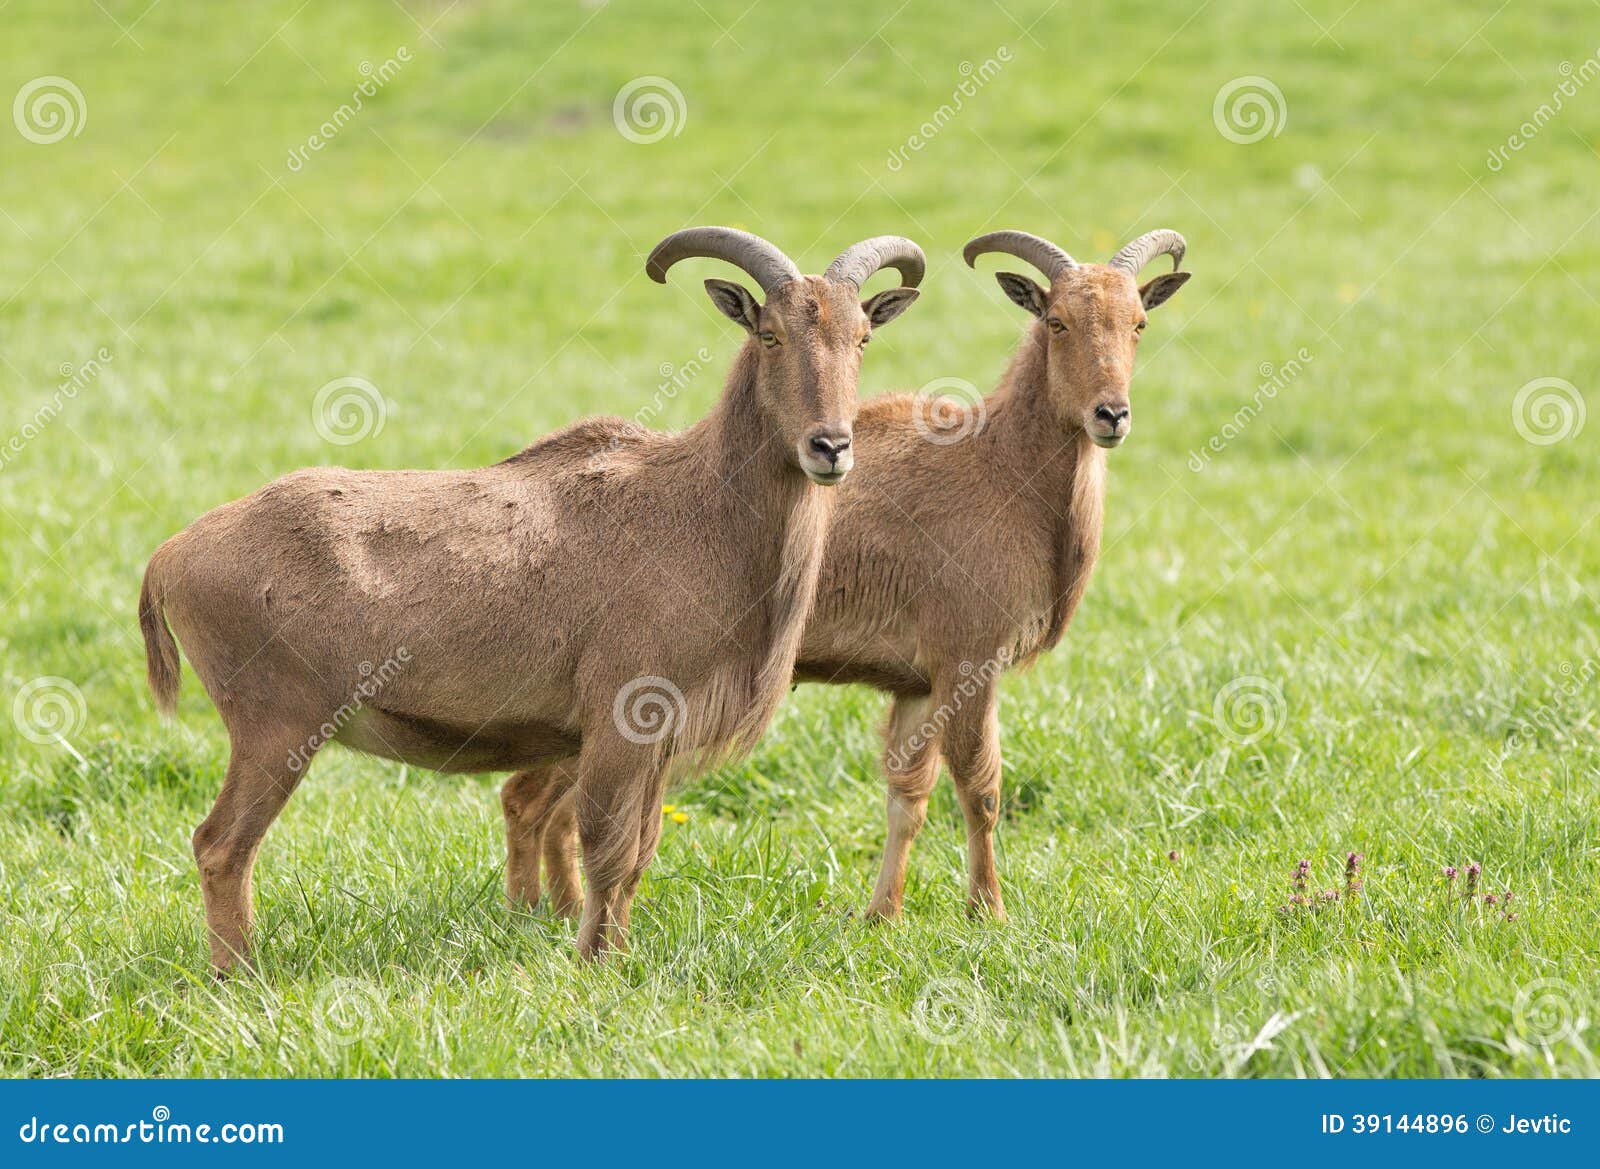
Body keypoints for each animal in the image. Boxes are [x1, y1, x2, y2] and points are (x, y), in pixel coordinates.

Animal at [138, 226, 925, 968]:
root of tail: (172, 555)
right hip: (276, 725)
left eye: (861, 337)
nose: (830, 446)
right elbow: (607, 848)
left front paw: (618, 955)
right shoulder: (622, 721)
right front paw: (591, 960)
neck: (700, 511)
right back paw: (240, 974)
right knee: (221, 844)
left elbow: (637, 855)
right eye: (770, 334)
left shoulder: (660, 744)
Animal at [507, 229, 1189, 925]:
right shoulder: (969, 659)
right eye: (1057, 321)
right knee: (533, 798)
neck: (1004, 472)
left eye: (1138, 322)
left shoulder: (917, 684)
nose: (1111, 414)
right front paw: (989, 911)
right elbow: (981, 788)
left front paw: (883, 912)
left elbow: (908, 793)